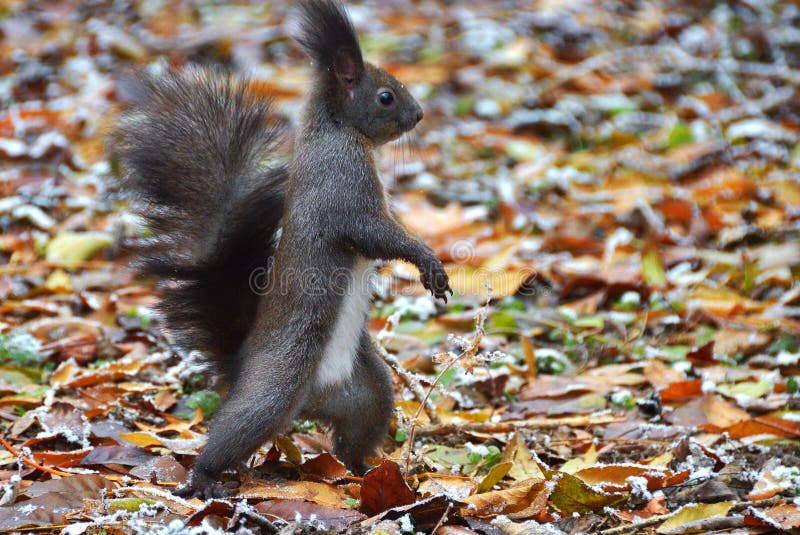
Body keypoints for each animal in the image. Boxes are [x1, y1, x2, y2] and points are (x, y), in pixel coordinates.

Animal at [112, 0, 450, 498]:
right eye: (386, 96)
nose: (420, 114)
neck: (337, 131)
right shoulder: (343, 189)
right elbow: (375, 234)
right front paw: (428, 262)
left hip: (369, 391)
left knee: (353, 436)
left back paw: (367, 472)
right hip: (275, 386)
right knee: (234, 430)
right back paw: (205, 480)